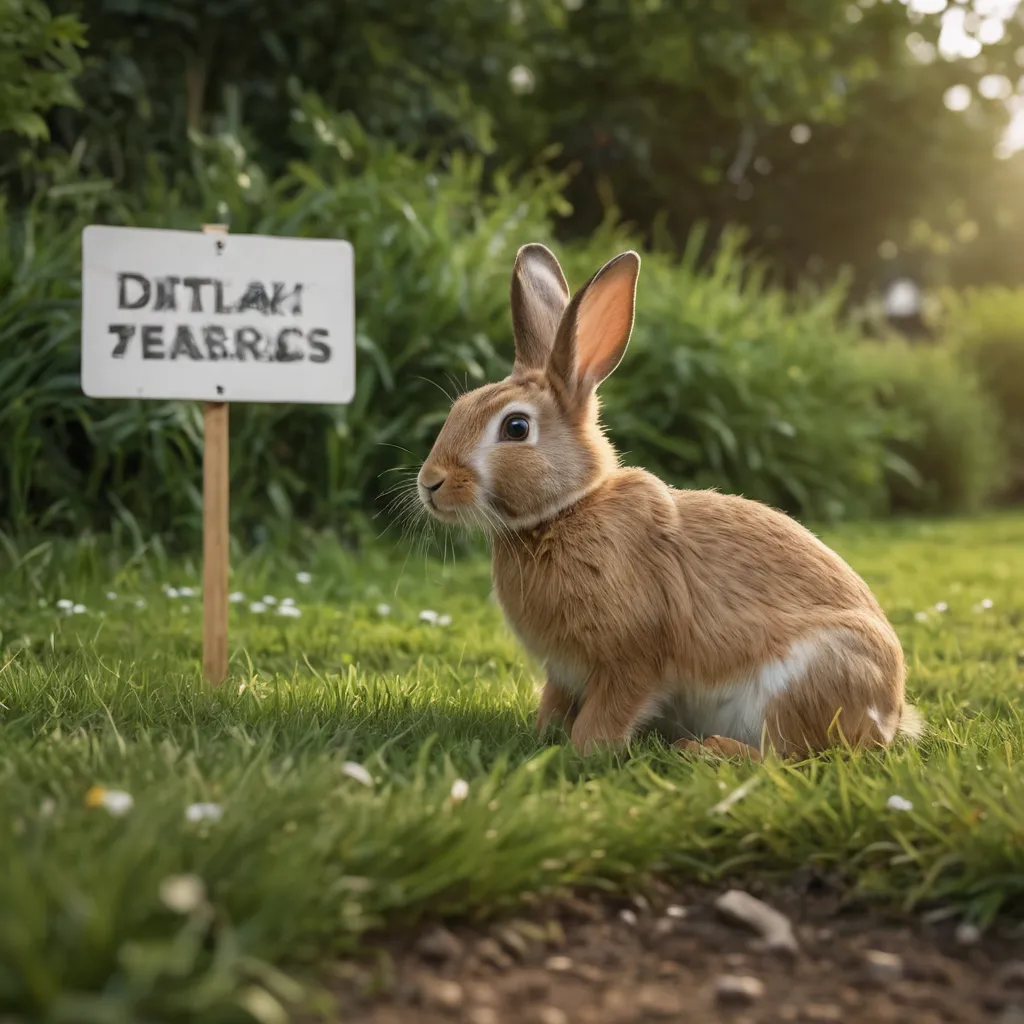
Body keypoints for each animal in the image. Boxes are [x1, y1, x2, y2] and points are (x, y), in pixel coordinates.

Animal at [417, 243, 923, 759]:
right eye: (460, 407)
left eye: (515, 428)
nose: (430, 482)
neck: (566, 511)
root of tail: (890, 715)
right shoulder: (564, 673)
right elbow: (554, 704)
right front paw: (544, 735)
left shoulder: (633, 657)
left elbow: (609, 712)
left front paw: (584, 750)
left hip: (800, 683)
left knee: (784, 756)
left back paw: (705, 750)